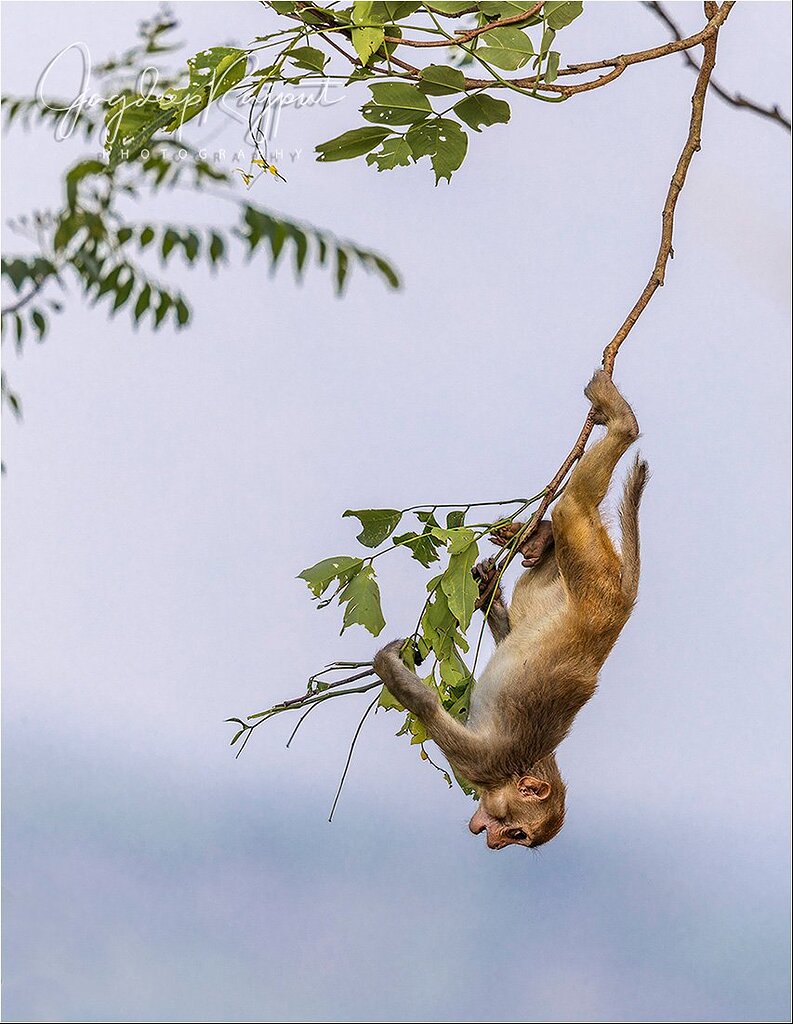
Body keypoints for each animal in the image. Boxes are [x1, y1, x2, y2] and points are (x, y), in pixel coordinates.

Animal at [373, 371, 648, 849]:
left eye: (517, 834)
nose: (492, 841)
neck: (528, 767)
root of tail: (621, 600)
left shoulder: (486, 767)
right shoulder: (486, 762)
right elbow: (429, 707)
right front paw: (391, 664)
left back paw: (535, 541)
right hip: (593, 578)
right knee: (572, 507)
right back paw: (617, 427)